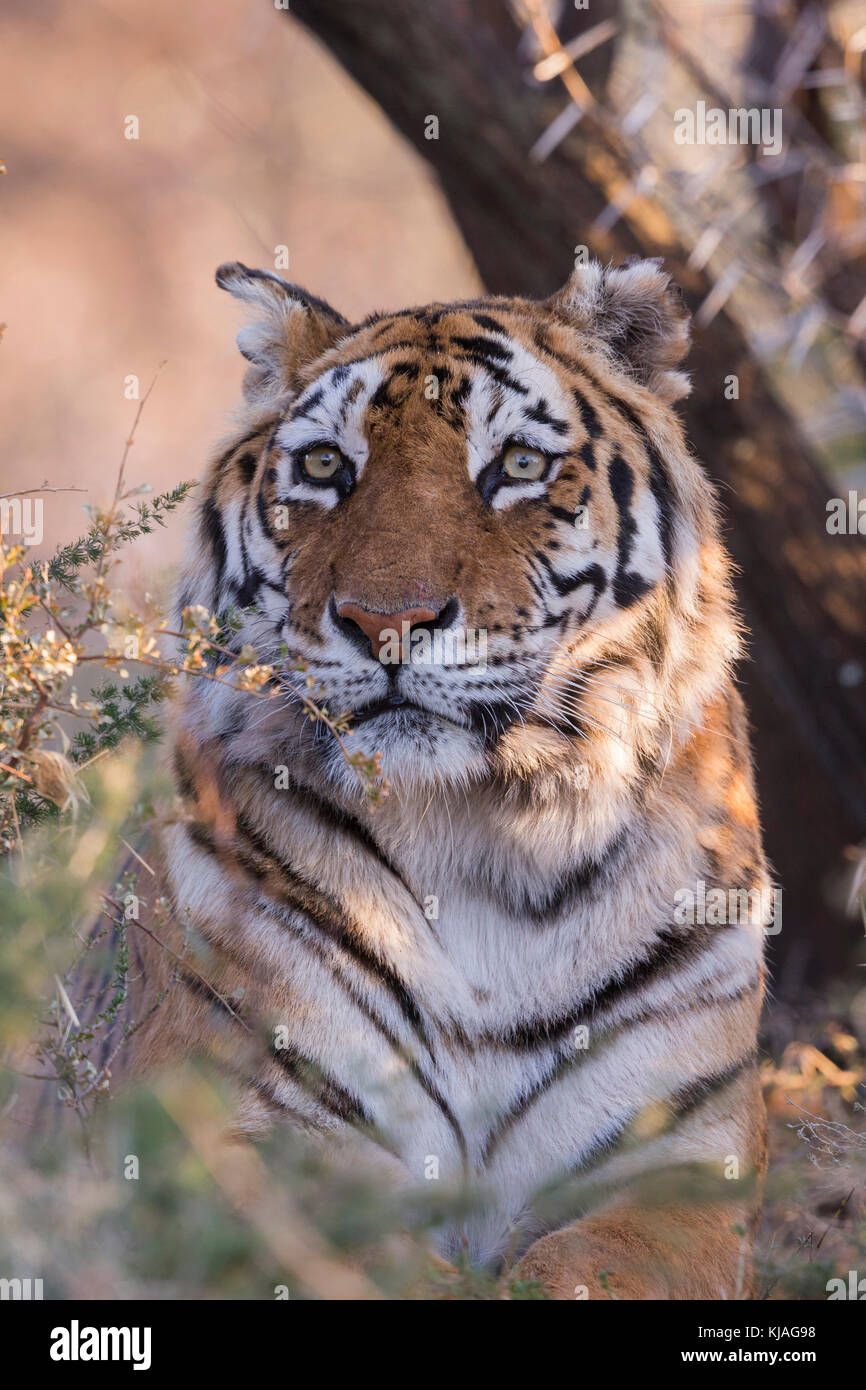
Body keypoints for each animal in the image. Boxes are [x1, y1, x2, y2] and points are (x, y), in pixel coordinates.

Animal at [130, 255, 771, 1300]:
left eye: (517, 466)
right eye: (324, 468)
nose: (386, 621)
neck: (482, 834)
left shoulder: (677, 1170)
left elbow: (594, 1271)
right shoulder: (249, 1137)